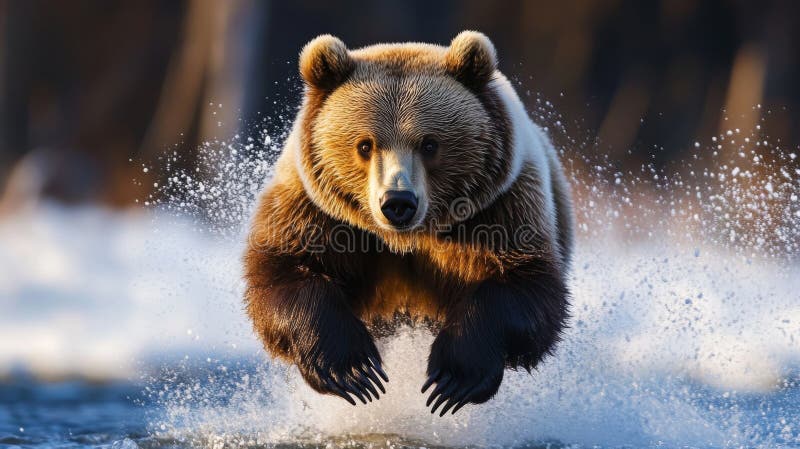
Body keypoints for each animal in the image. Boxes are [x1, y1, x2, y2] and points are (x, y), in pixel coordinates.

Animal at [244, 31, 573, 416]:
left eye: (430, 144)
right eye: (365, 145)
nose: (398, 202)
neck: (406, 240)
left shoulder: (500, 209)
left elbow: (523, 285)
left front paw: (453, 377)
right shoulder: (317, 212)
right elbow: (285, 272)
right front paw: (354, 371)